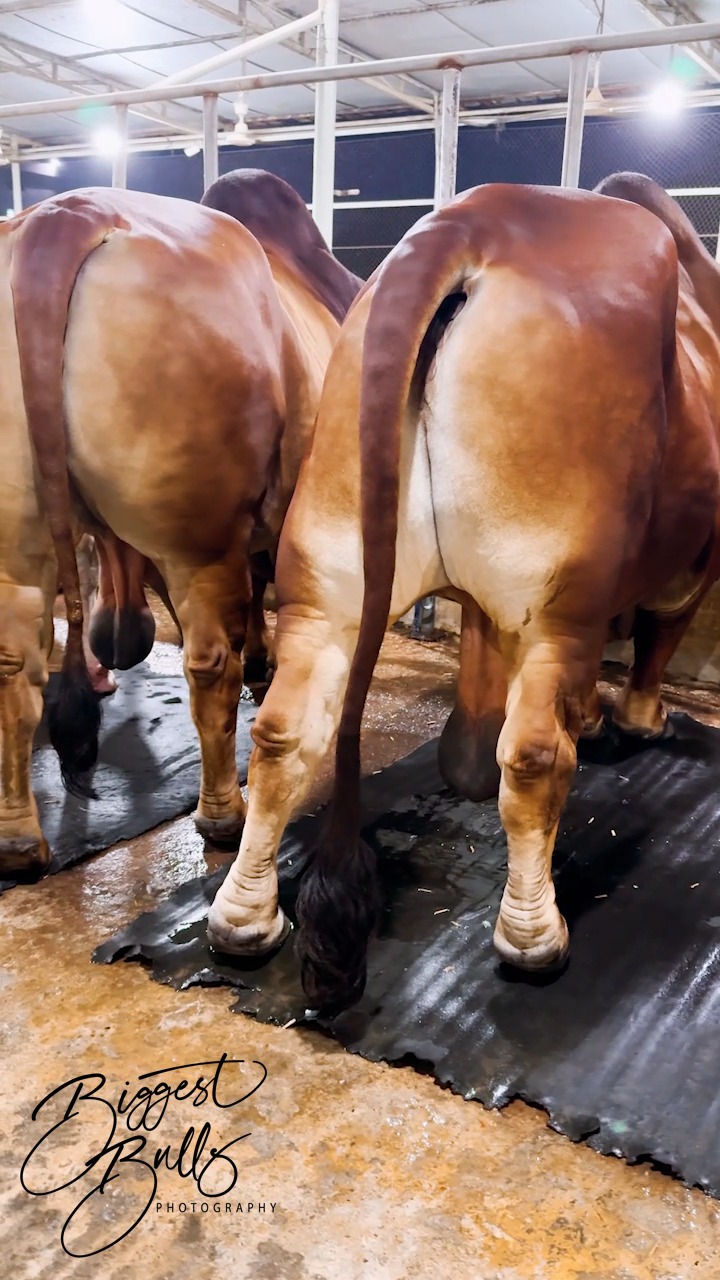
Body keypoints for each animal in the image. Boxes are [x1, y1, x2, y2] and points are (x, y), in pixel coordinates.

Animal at [0, 169, 360, 878]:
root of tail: (65, 216)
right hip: (198, 539)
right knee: (208, 664)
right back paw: (223, 815)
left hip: (20, 543)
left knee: (16, 666)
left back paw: (19, 841)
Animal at [205, 174, 720, 1014]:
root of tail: (476, 220)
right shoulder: (693, 560)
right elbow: (658, 634)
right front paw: (640, 720)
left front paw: (471, 758)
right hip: (559, 602)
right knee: (537, 756)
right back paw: (535, 938)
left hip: (329, 581)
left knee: (284, 733)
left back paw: (244, 920)